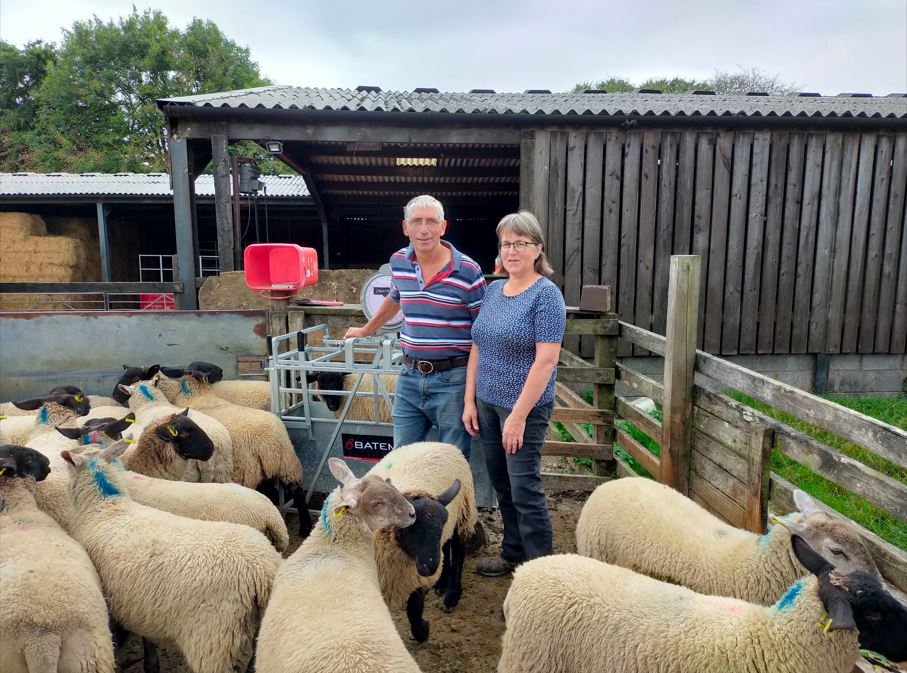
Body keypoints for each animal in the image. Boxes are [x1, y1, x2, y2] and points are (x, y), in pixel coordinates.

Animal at [156, 372, 312, 537]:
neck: (197, 395)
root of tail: (270, 441)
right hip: (286, 460)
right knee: (297, 491)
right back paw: (305, 528)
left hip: (248, 467)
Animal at [367, 441, 478, 642]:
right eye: (410, 525)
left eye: (442, 521)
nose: (430, 566)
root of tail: (442, 443)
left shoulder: (415, 572)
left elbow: (414, 607)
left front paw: (421, 631)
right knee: (446, 548)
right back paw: (441, 583)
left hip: (462, 515)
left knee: (458, 552)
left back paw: (451, 596)